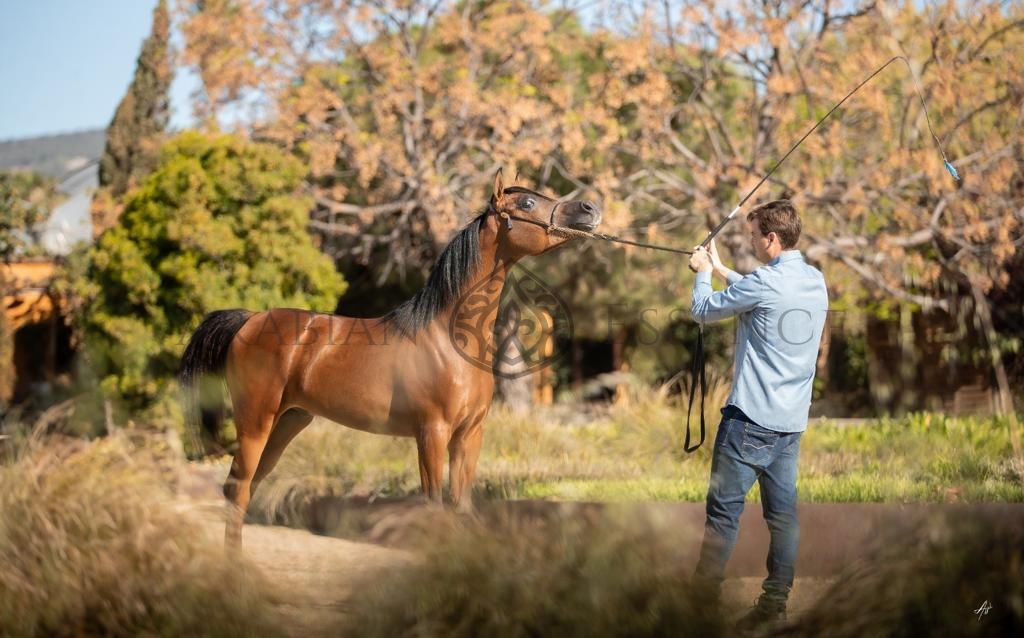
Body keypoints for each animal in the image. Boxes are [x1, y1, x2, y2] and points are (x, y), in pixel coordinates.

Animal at [178, 171, 602, 546]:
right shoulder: (432, 433)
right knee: (237, 488)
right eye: (527, 202)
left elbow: (461, 508)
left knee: (246, 488)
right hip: (255, 422)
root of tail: (249, 319)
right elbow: (434, 508)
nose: (590, 208)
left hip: (288, 422)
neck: (451, 342)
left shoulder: (469, 435)